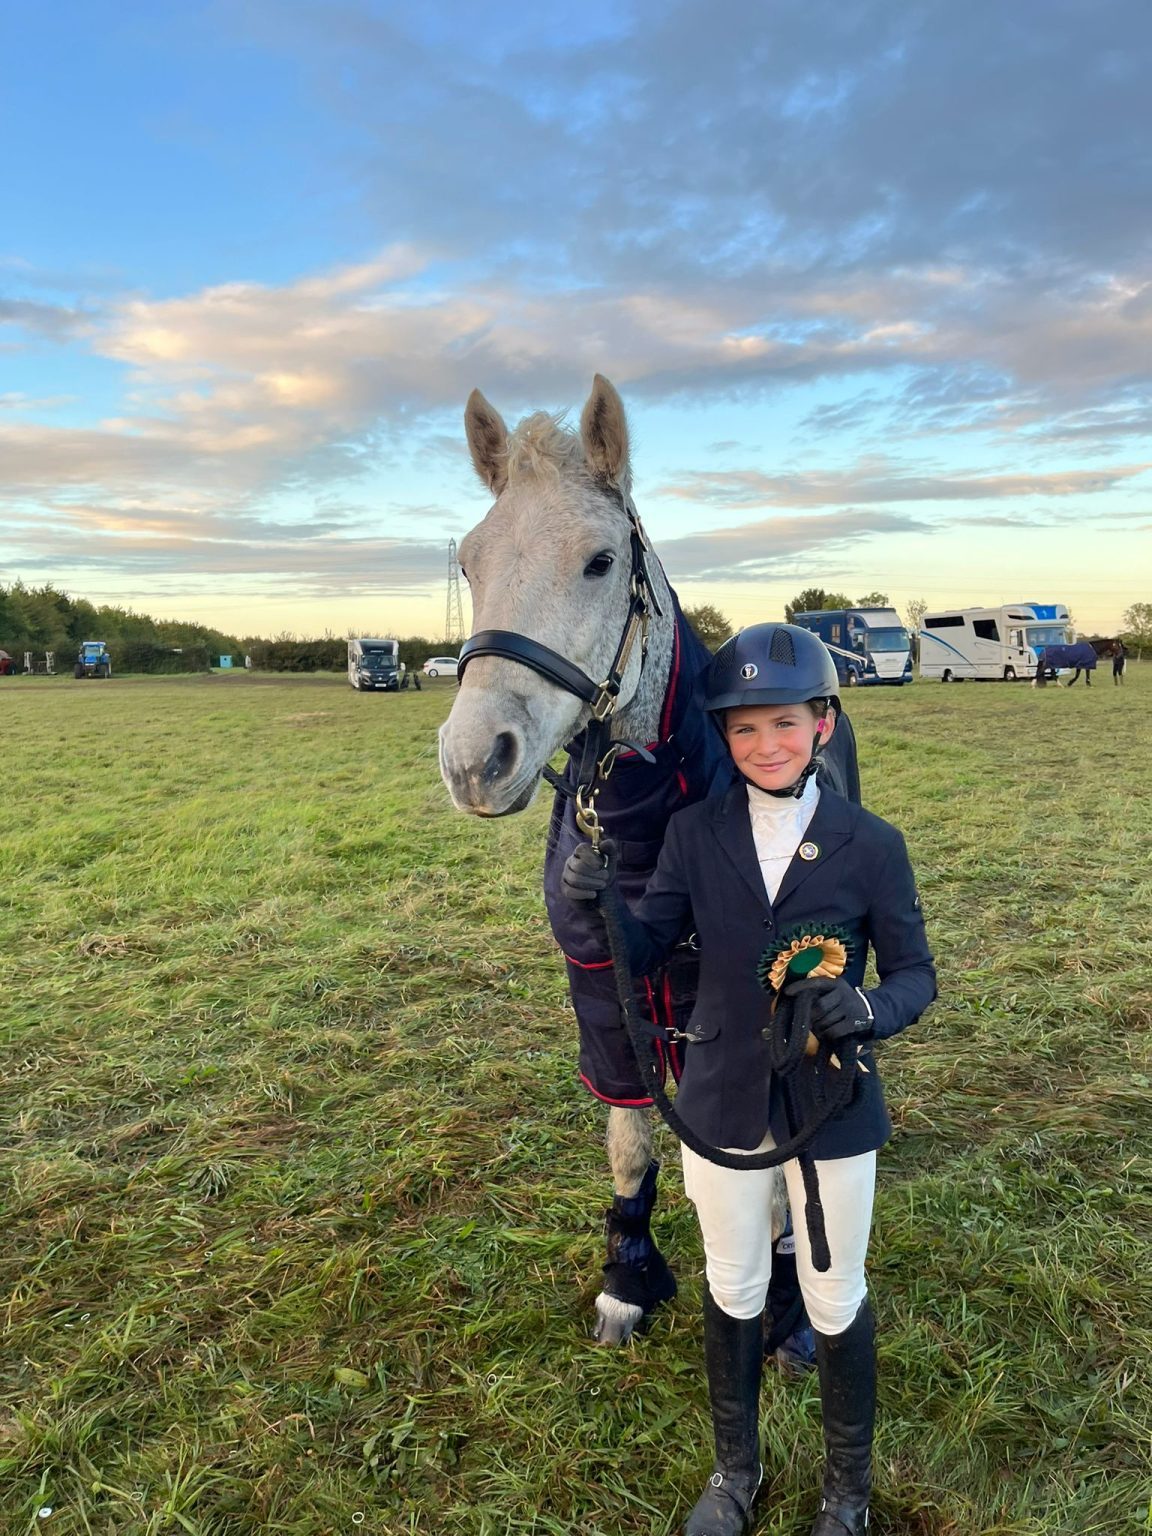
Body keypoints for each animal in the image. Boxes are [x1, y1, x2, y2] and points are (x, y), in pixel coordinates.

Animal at [438, 376, 860, 1346]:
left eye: (599, 561)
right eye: (471, 564)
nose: (475, 762)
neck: (639, 825)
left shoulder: (742, 994)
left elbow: (764, 1149)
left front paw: (784, 1288)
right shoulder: (601, 986)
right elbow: (630, 1139)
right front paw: (628, 1272)